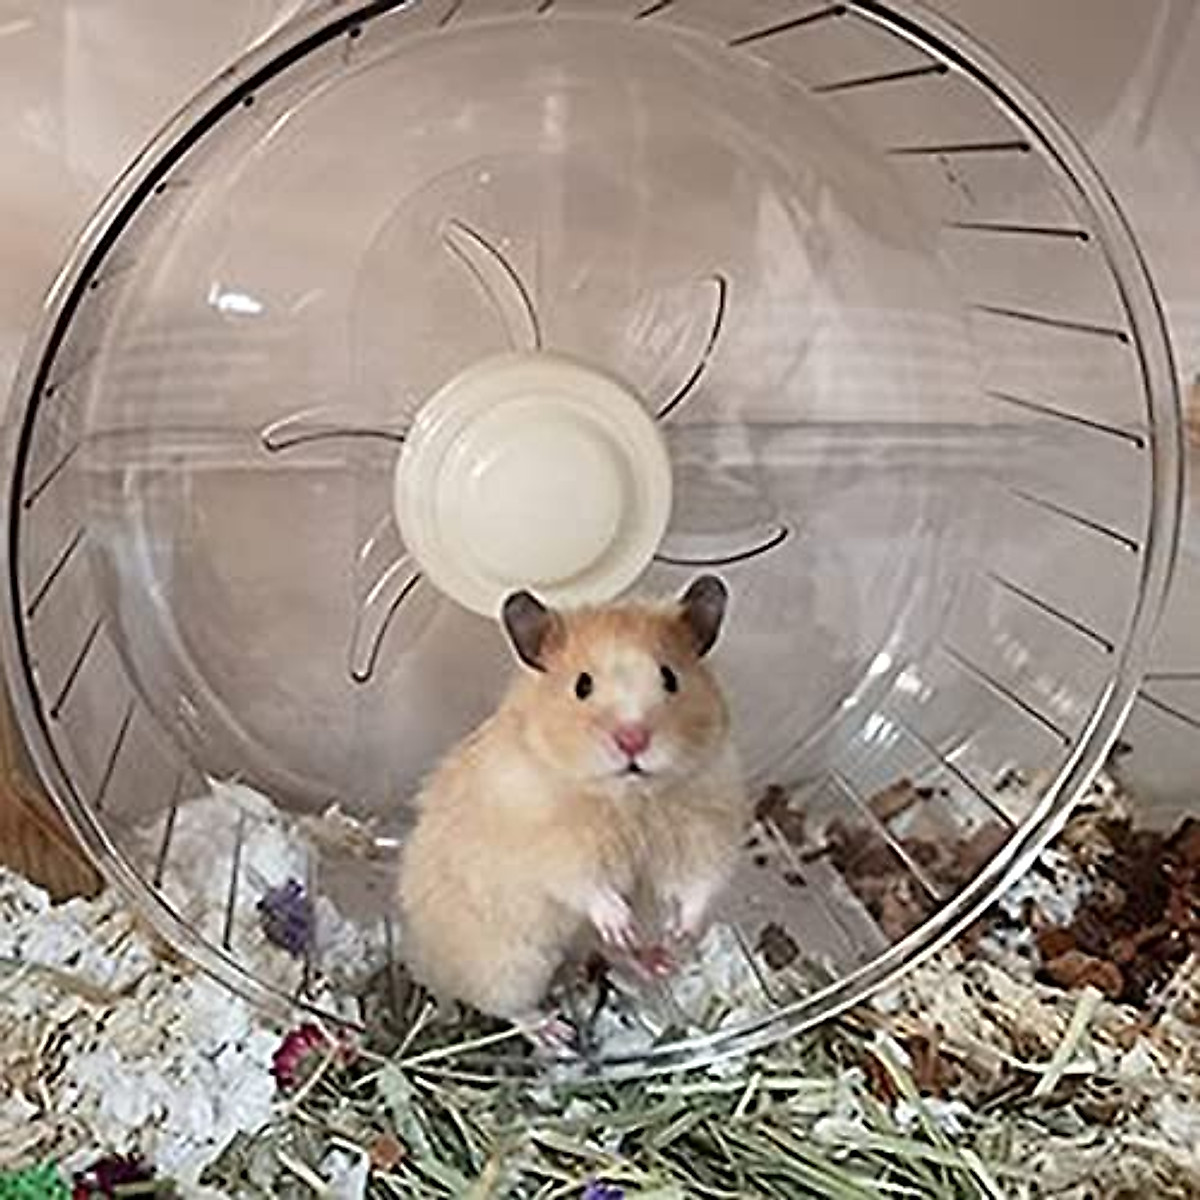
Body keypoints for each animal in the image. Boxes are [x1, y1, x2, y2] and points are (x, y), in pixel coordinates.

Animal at [397, 574, 748, 1034]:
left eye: (670, 677)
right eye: (582, 685)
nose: (633, 740)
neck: (629, 800)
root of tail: (420, 959)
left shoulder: (707, 823)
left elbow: (699, 884)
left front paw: (681, 934)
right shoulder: (553, 848)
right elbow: (587, 885)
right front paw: (619, 921)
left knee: (609, 956)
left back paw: (655, 958)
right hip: (511, 964)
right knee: (506, 1006)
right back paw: (555, 1029)